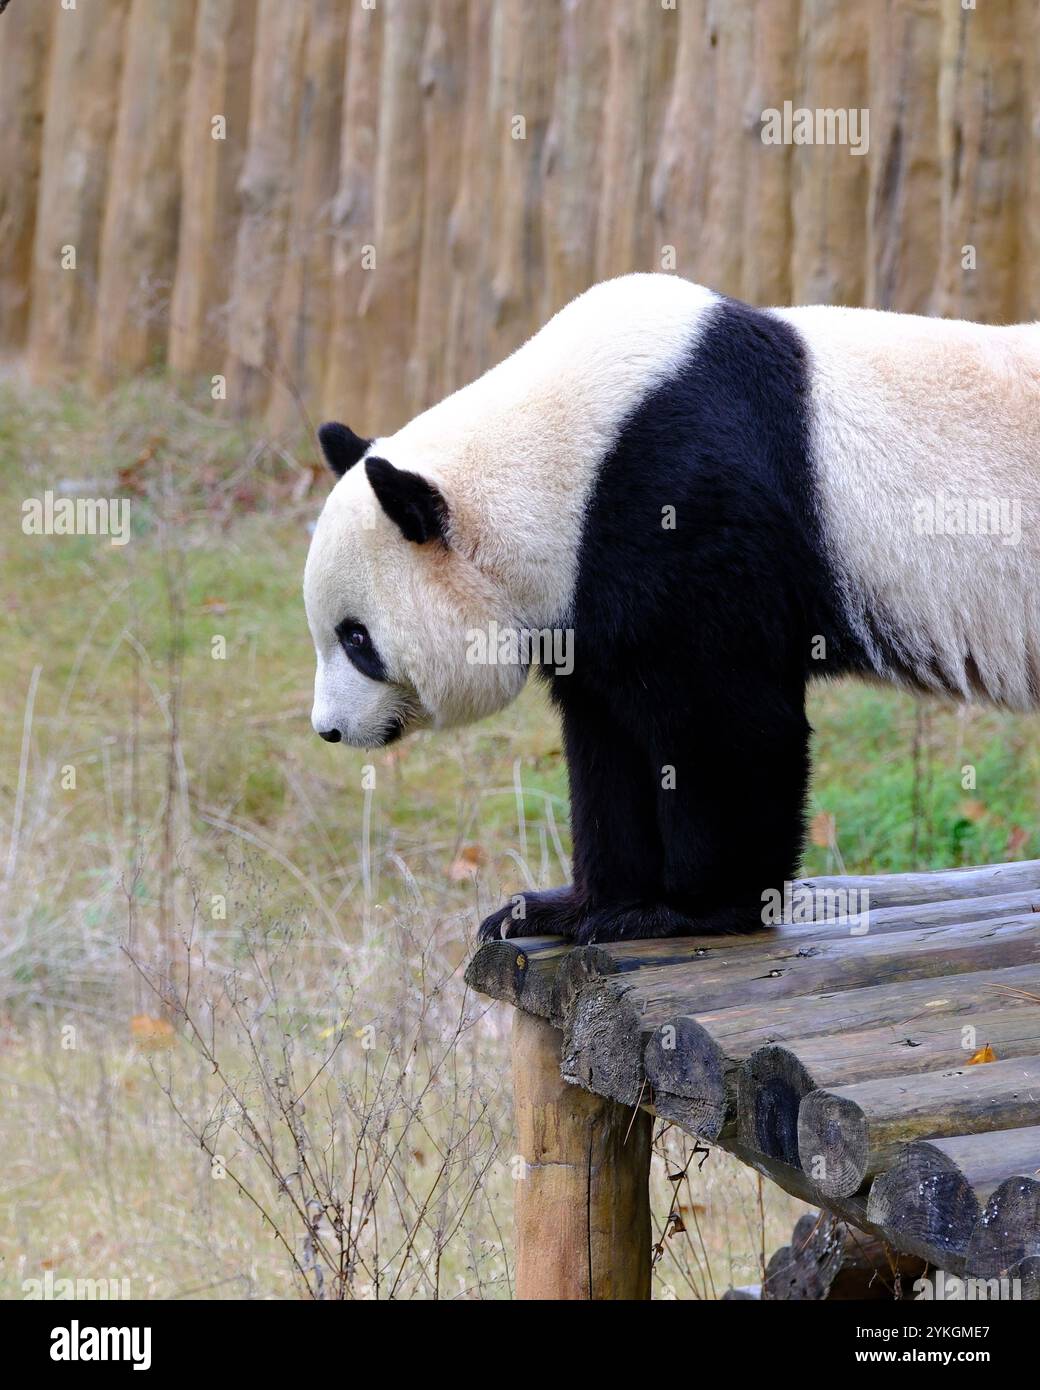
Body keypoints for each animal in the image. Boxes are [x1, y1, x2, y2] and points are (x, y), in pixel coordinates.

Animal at [303, 273, 1040, 944]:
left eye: (358, 640)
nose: (330, 730)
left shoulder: (682, 508)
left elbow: (727, 726)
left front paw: (690, 909)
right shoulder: (586, 601)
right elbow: (608, 741)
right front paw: (564, 909)